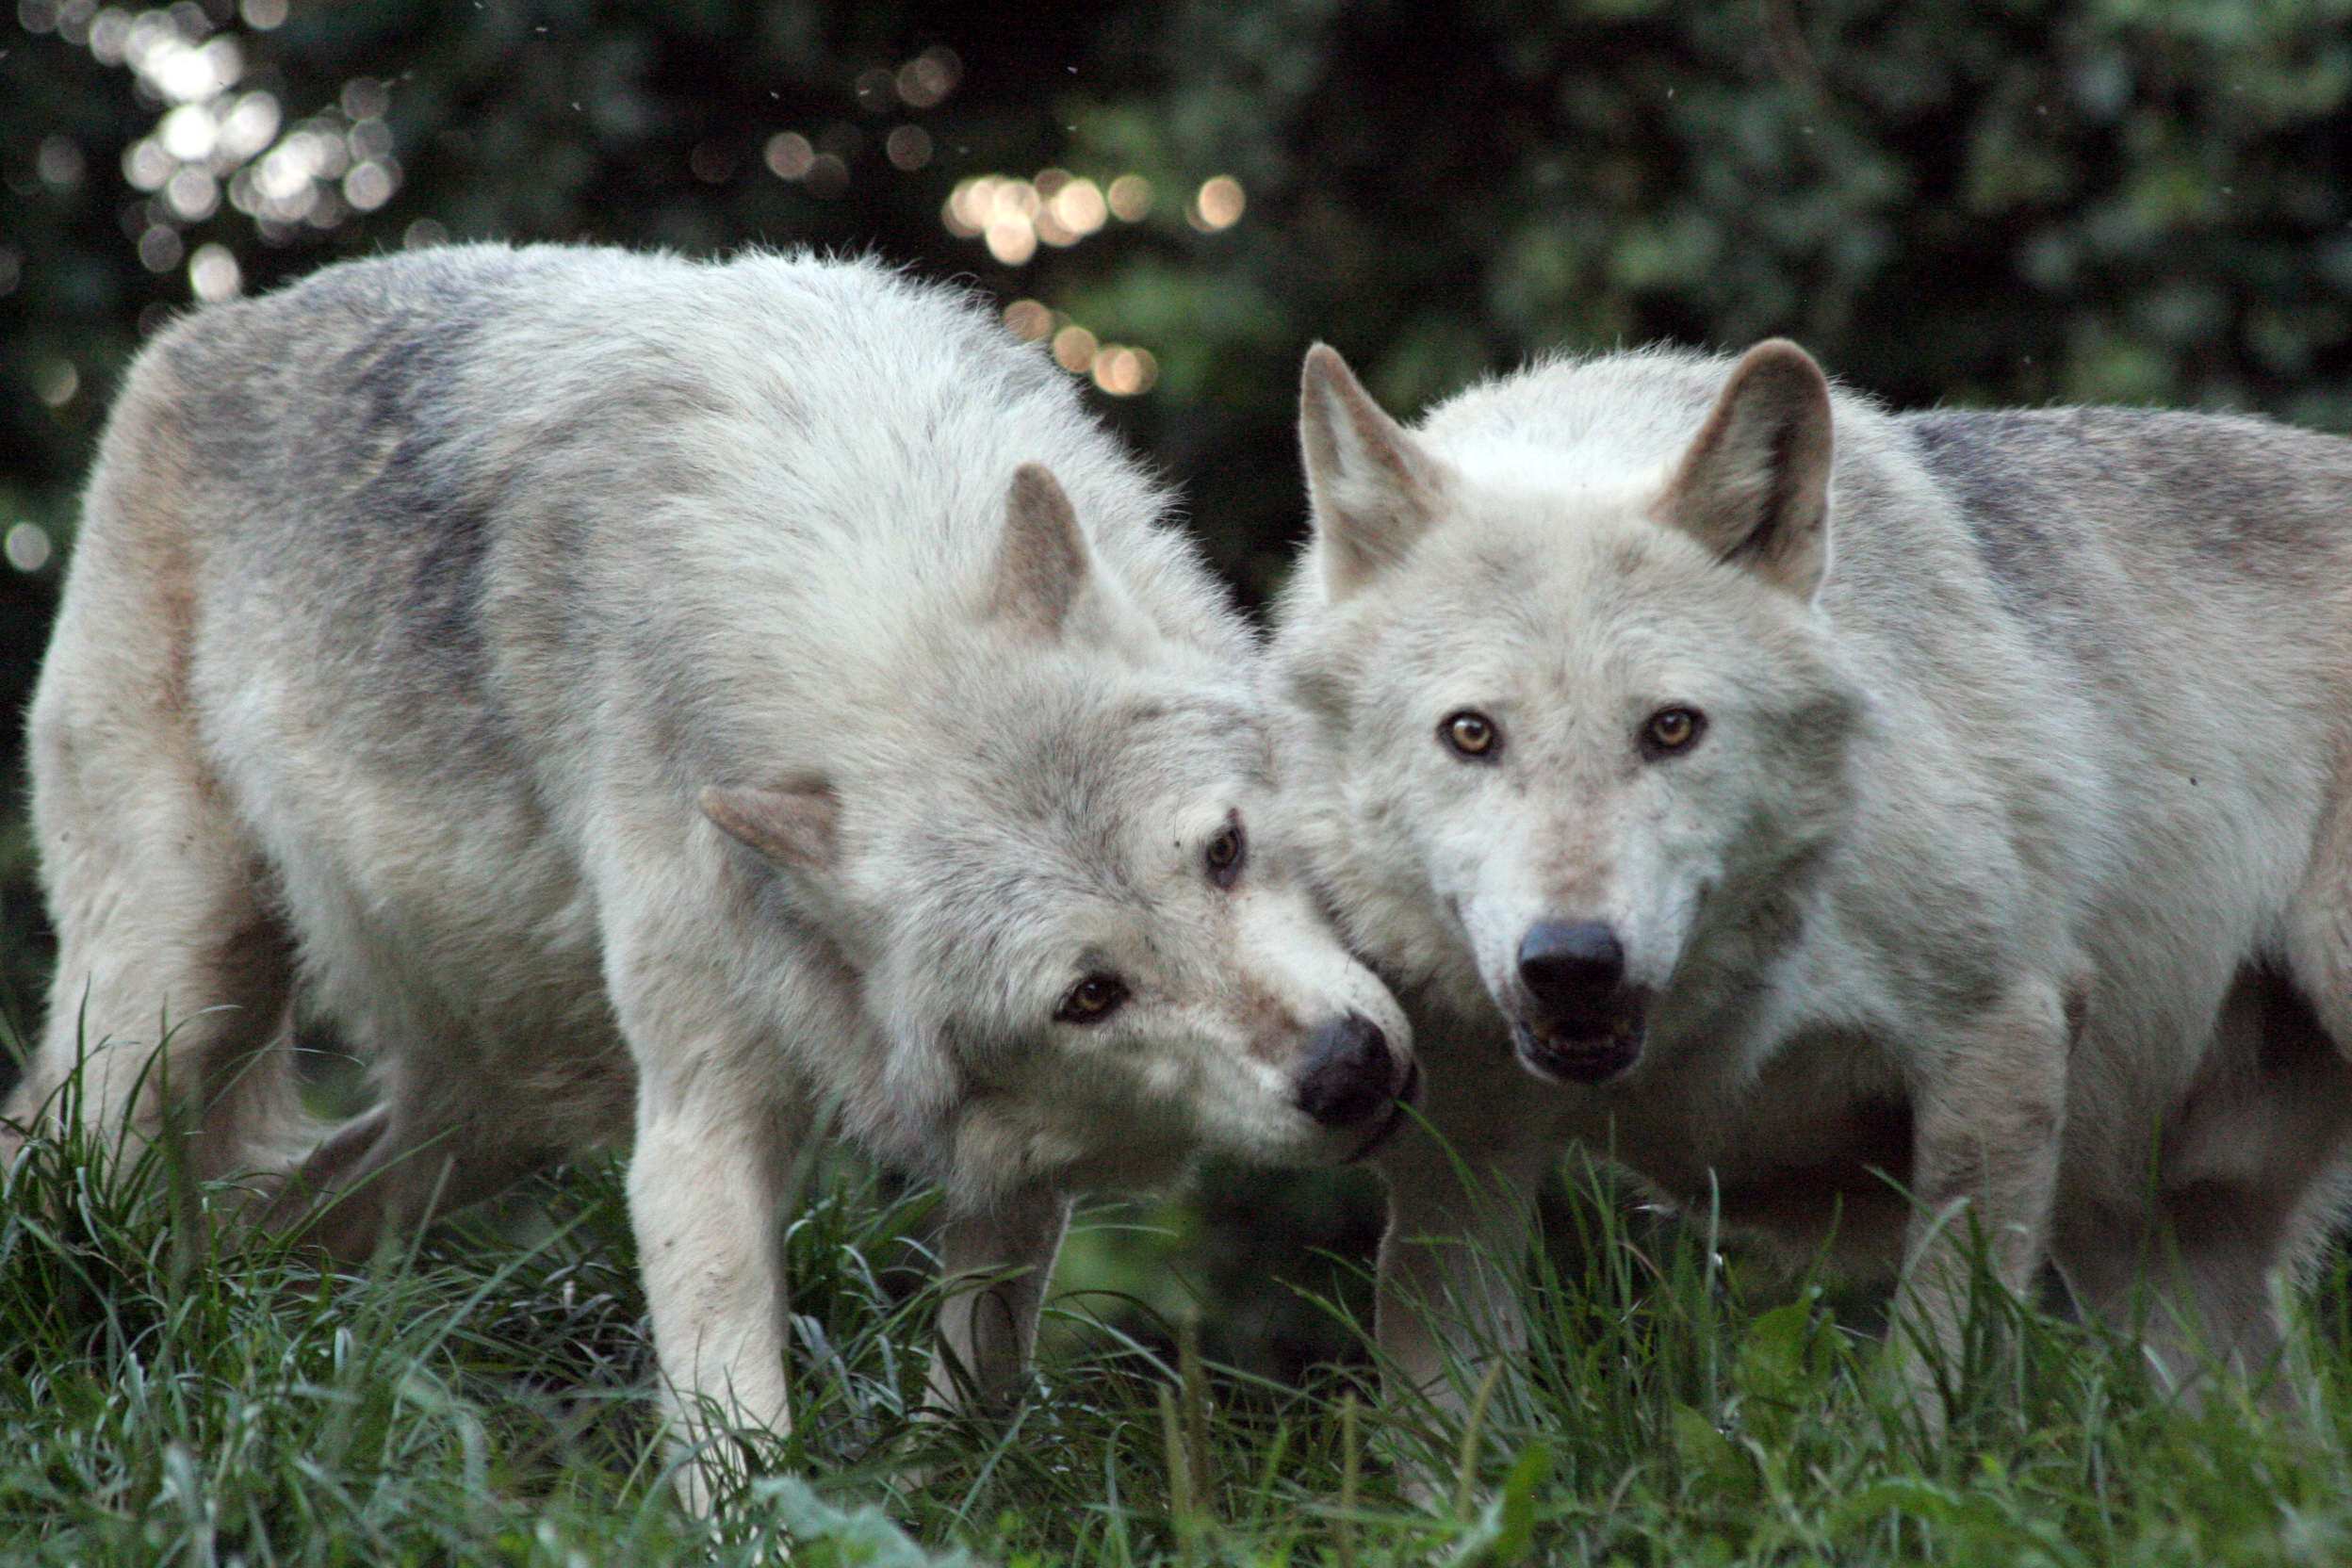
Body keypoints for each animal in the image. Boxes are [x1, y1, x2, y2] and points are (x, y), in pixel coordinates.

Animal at [2, 244, 1418, 1506]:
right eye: (1091, 995)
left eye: (1225, 851)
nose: (1347, 1071)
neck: (864, 588)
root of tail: (192, 340)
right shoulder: (700, 1121)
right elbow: (733, 1421)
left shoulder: (1008, 1166)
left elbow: (979, 1381)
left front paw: (949, 1496)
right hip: (174, 997)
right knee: (57, 1161)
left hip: (486, 1114)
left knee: (278, 1229)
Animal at [1267, 335, 2352, 1423]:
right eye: (1471, 733)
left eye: (1672, 727)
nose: (1571, 961)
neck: (1692, 1033)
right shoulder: (1457, 1163)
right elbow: (1448, 1427)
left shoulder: (1999, 1038)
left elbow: (1927, 1379)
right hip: (2156, 1255)